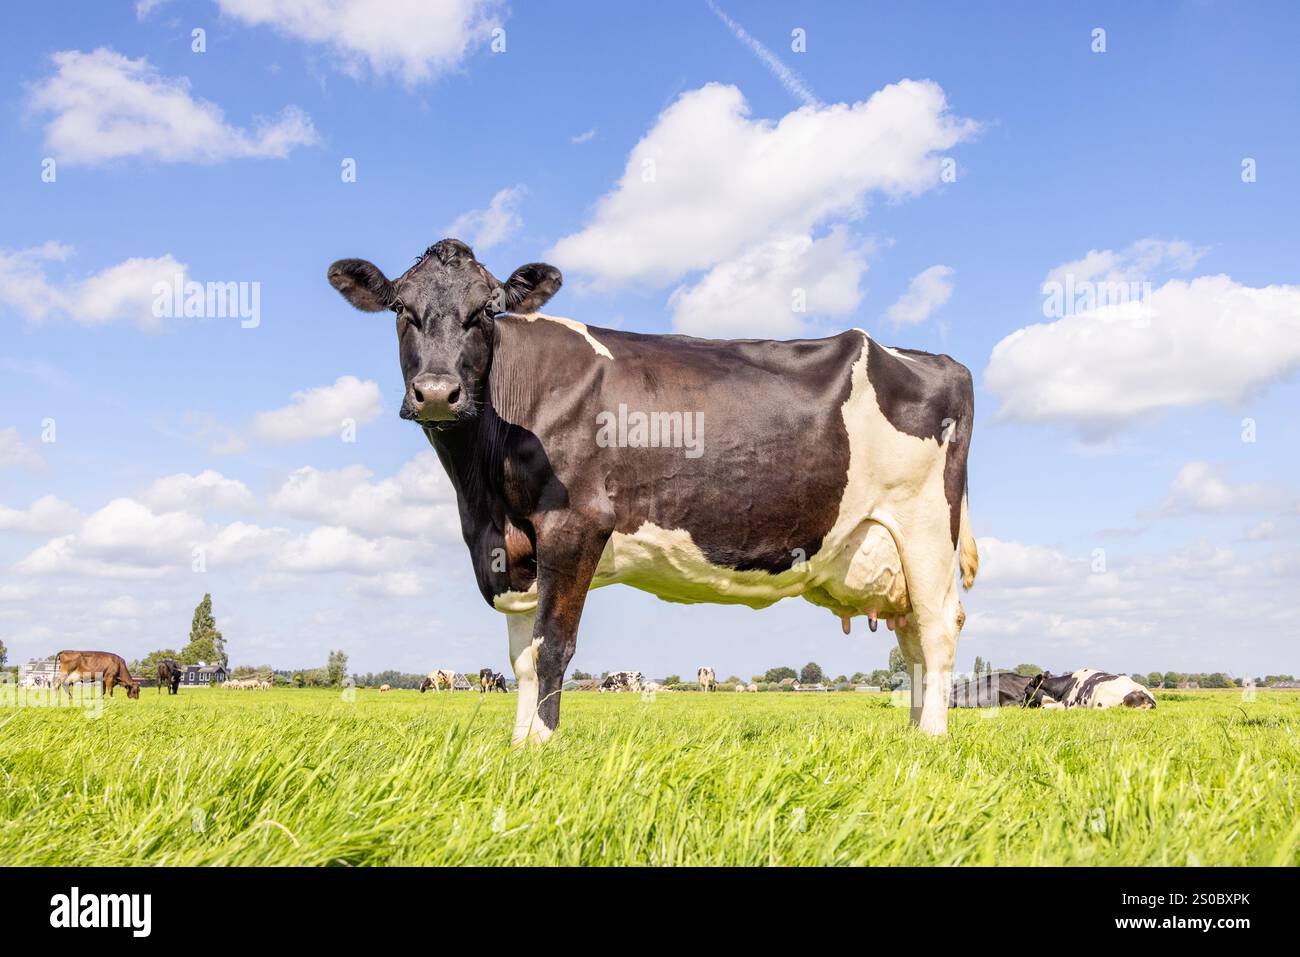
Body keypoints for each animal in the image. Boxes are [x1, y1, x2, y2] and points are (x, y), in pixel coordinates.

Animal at [328, 238, 978, 743]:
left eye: (487, 310)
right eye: (400, 307)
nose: (438, 392)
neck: (483, 496)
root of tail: (934, 360)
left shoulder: (574, 524)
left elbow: (552, 646)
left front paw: (541, 746)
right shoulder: (511, 550)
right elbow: (522, 659)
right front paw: (516, 745)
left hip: (924, 526)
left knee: (938, 627)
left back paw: (932, 737)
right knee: (913, 639)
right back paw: (912, 732)